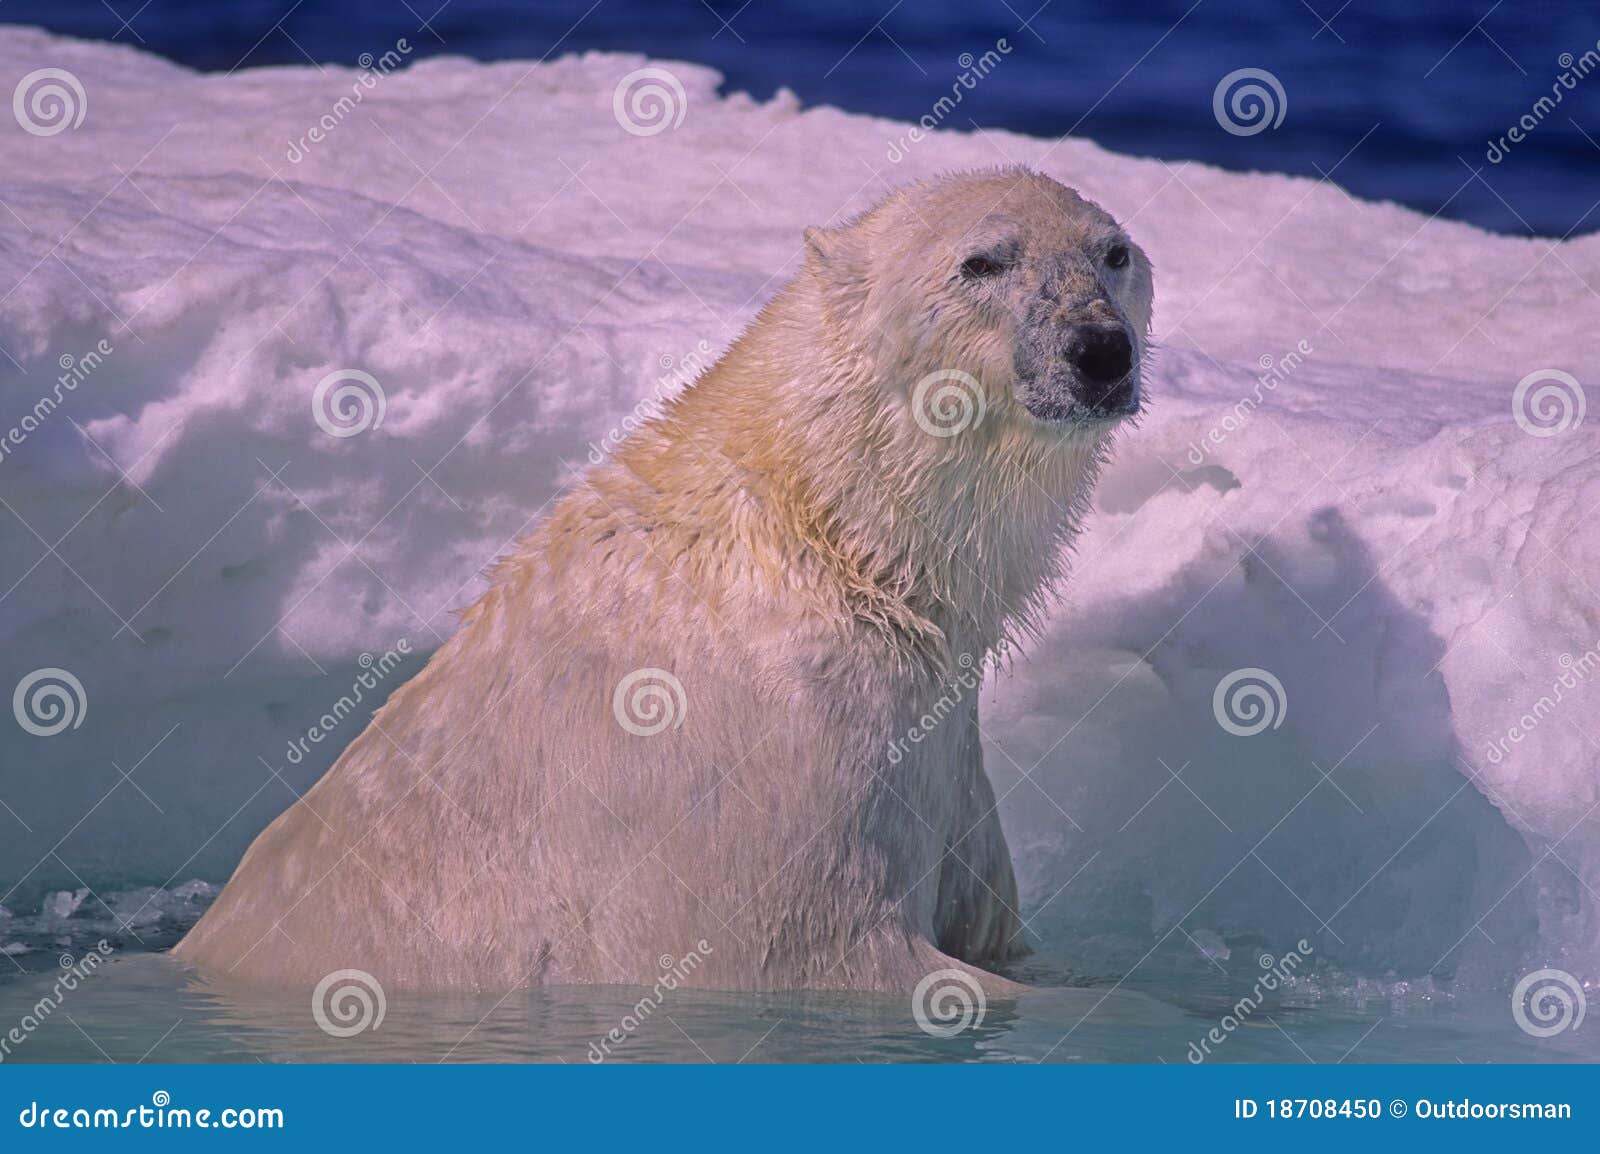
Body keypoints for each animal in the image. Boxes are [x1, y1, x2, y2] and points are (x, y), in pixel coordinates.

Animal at [174, 167, 1154, 996]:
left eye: (1114, 251)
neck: (833, 539)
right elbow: (834, 954)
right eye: (982, 260)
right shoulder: (768, 775)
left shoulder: (945, 764)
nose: (1100, 351)